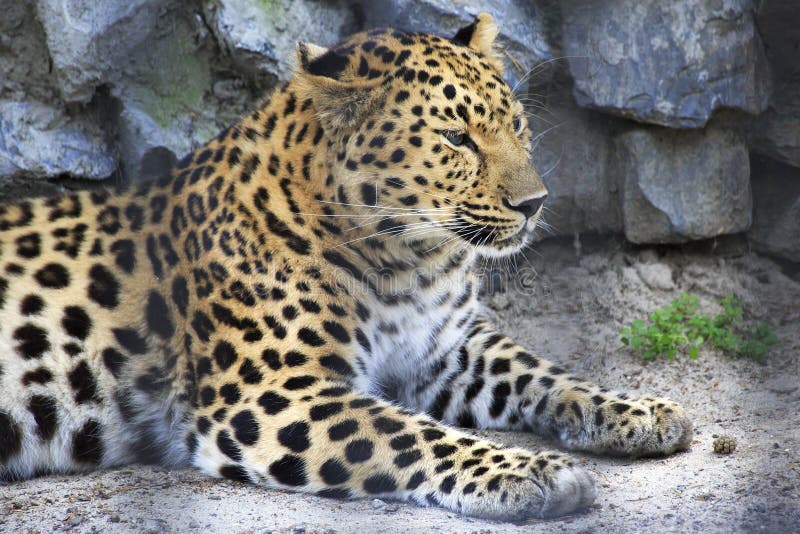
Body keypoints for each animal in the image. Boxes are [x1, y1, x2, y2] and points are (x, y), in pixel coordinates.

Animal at [0, 14, 692, 520]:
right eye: (456, 139)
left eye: (517, 125)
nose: (535, 204)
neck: (410, 262)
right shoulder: (274, 393)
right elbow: (408, 434)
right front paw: (531, 472)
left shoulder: (446, 347)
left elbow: (540, 372)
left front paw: (638, 410)